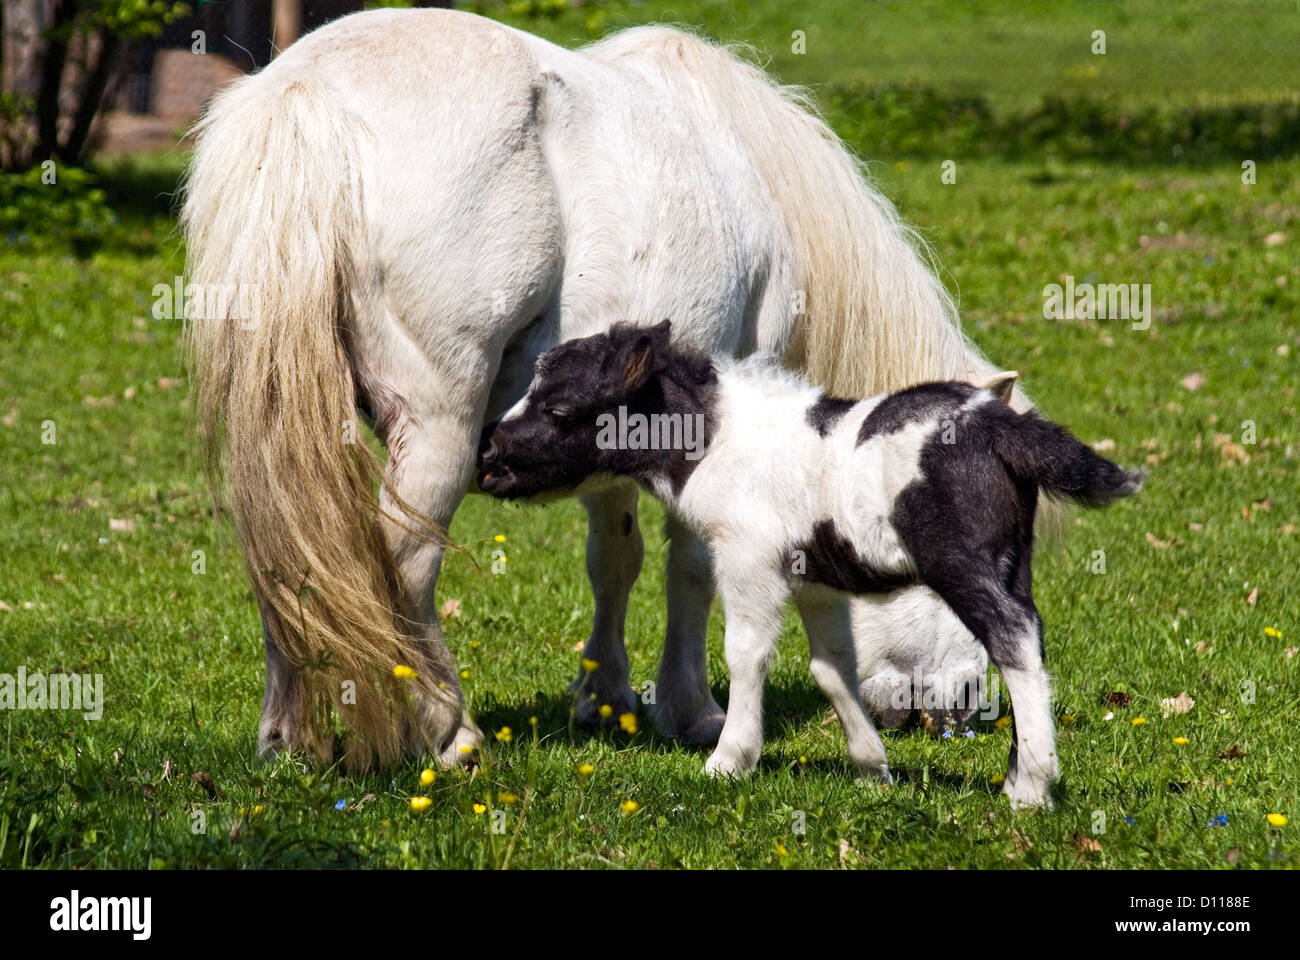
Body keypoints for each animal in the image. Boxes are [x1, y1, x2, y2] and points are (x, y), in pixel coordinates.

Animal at [182, 7, 1016, 770]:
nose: (969, 705)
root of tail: (308, 95)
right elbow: (691, 565)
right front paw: (692, 711)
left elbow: (615, 556)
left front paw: (607, 698)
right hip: (438, 427)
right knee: (402, 568)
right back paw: (450, 735)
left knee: (294, 556)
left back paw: (290, 739)